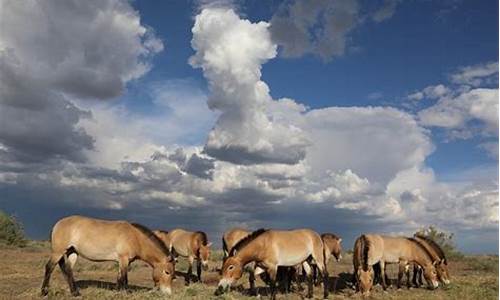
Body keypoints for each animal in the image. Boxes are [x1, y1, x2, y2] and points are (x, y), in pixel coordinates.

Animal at [40, 214, 176, 296]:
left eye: (173, 276)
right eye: (167, 272)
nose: (168, 293)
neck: (135, 237)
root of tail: (58, 223)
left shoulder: (122, 261)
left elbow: (119, 278)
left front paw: (117, 292)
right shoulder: (124, 260)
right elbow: (124, 279)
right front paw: (125, 293)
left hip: (72, 252)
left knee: (68, 270)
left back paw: (75, 292)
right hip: (58, 252)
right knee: (49, 267)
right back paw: (44, 292)